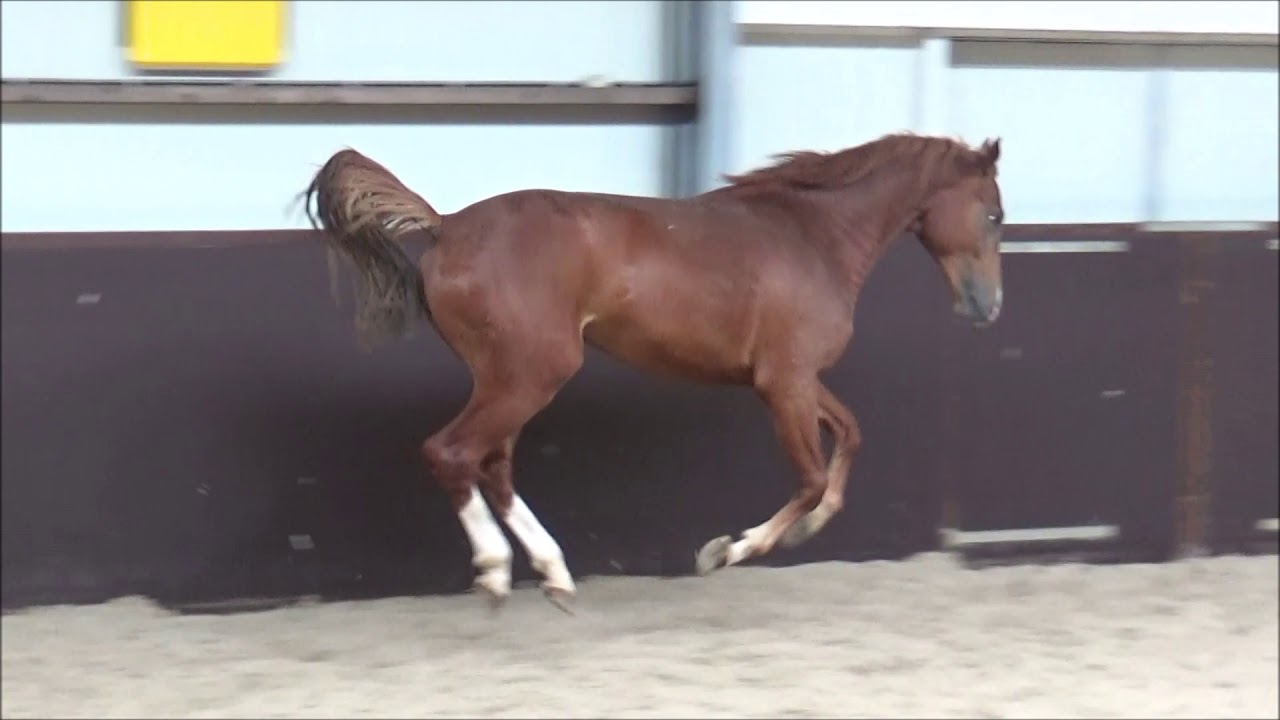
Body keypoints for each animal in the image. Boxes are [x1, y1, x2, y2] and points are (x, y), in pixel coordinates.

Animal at [300, 131, 1005, 612]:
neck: (813, 236)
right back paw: (498, 571)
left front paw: (804, 530)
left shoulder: (796, 380)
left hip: (507, 379)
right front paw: (726, 550)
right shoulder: (783, 383)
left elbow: (850, 437)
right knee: (451, 453)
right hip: (531, 375)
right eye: (995, 215)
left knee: (492, 466)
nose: (987, 306)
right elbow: (808, 479)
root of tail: (446, 227)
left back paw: (554, 576)